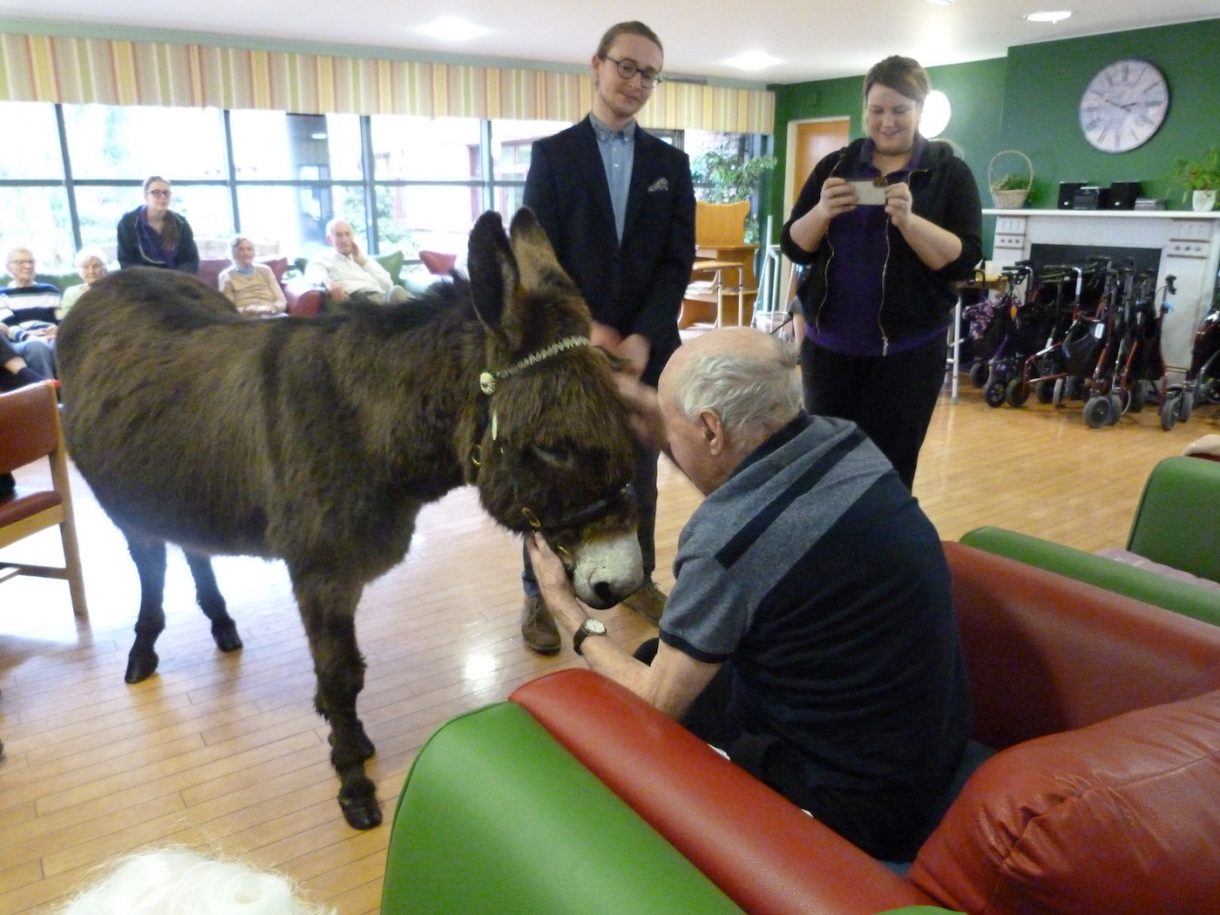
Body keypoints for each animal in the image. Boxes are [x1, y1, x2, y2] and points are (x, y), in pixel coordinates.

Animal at [55, 208, 643, 830]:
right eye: (553, 449)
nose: (627, 580)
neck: (368, 429)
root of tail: (113, 282)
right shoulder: (320, 577)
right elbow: (340, 679)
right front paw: (353, 782)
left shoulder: (346, 575)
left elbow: (351, 672)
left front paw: (352, 742)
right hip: (130, 503)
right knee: (151, 565)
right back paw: (144, 651)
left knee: (192, 549)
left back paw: (222, 626)